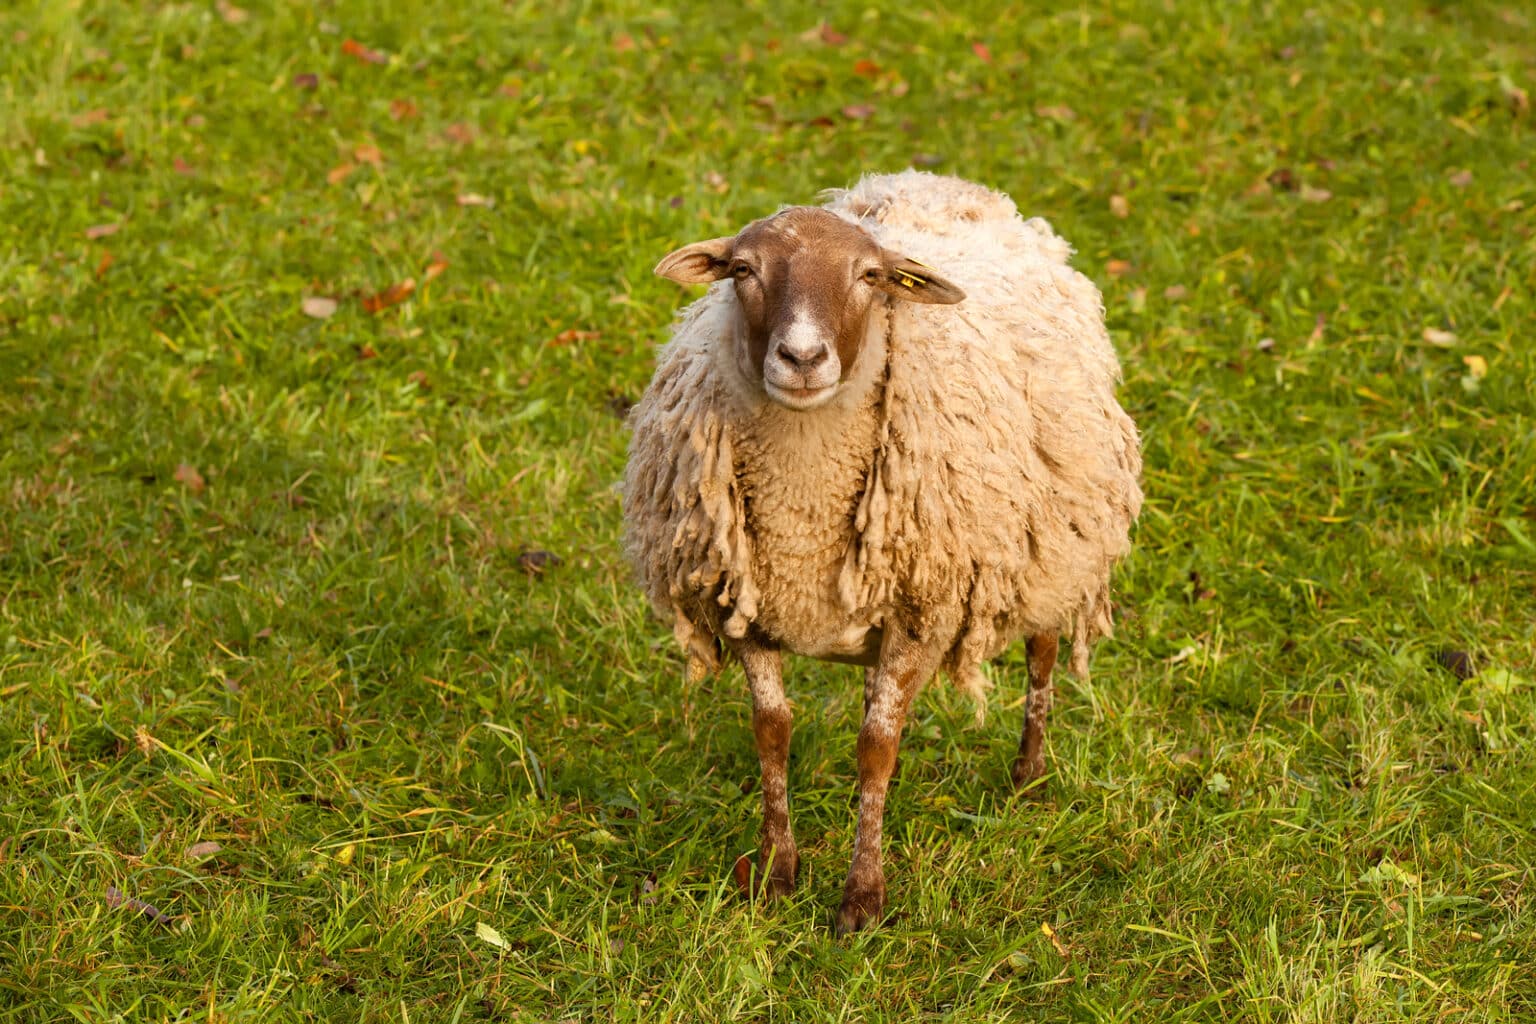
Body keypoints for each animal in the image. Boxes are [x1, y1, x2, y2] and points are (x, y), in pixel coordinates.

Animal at [623, 170, 1142, 934]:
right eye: (743, 270)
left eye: (868, 277)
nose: (803, 359)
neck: (803, 503)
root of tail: (942, 184)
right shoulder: (744, 605)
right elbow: (772, 731)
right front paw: (777, 874)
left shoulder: (921, 613)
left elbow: (877, 748)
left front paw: (860, 900)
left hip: (1053, 541)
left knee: (1042, 654)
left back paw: (1028, 777)